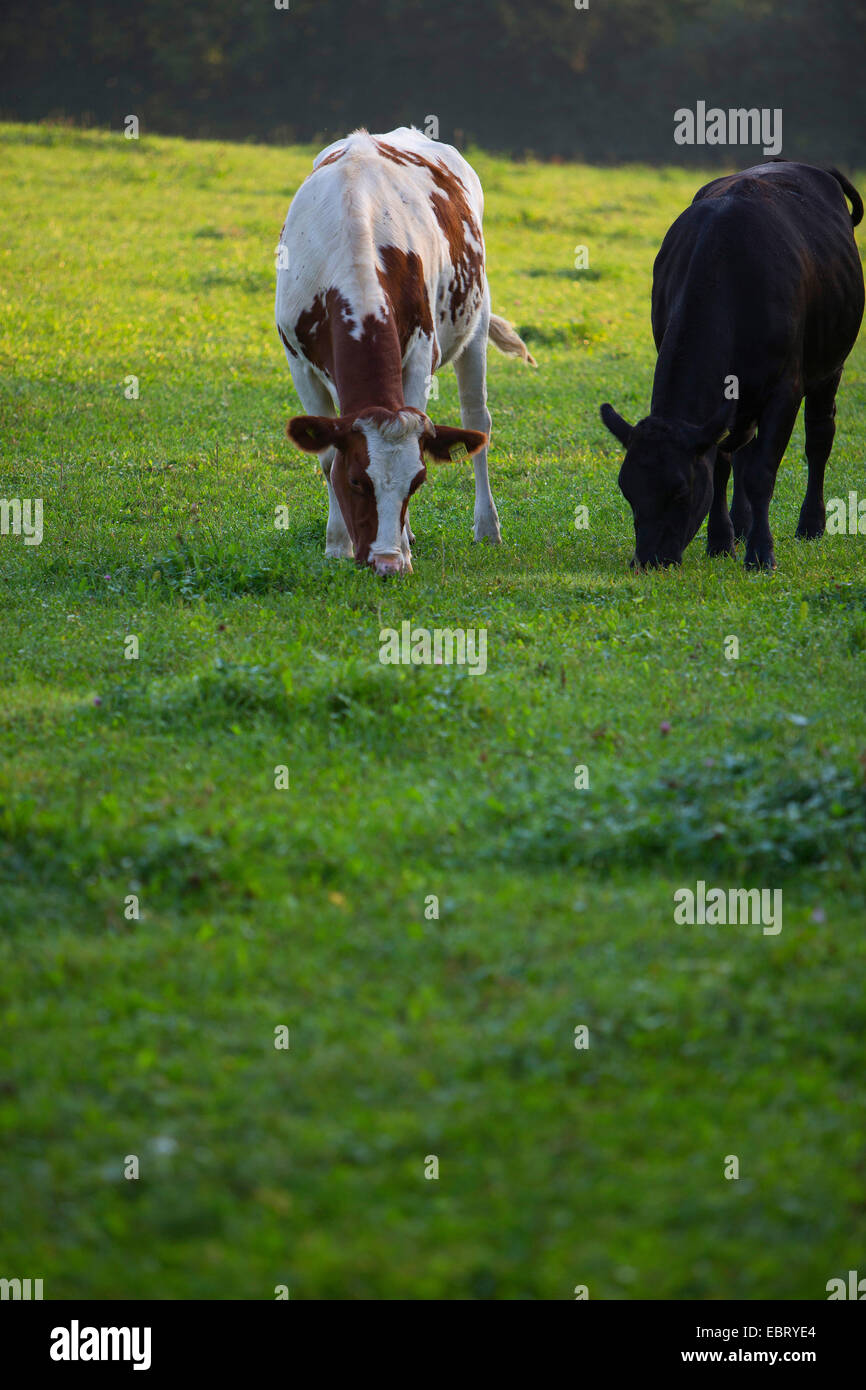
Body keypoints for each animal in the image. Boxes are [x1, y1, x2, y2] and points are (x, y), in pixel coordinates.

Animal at [275, 126, 535, 576]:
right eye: (357, 481)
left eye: (417, 482)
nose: (387, 564)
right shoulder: (300, 364)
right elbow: (326, 456)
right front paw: (337, 543)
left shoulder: (419, 355)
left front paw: (403, 544)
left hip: (477, 320)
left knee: (477, 421)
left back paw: (486, 527)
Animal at [600, 161, 864, 569]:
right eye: (627, 490)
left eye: (680, 491)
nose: (648, 560)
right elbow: (722, 466)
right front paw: (722, 541)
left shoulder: (785, 389)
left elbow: (761, 473)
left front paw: (761, 554)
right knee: (742, 449)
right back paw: (741, 525)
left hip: (830, 366)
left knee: (819, 438)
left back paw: (811, 524)